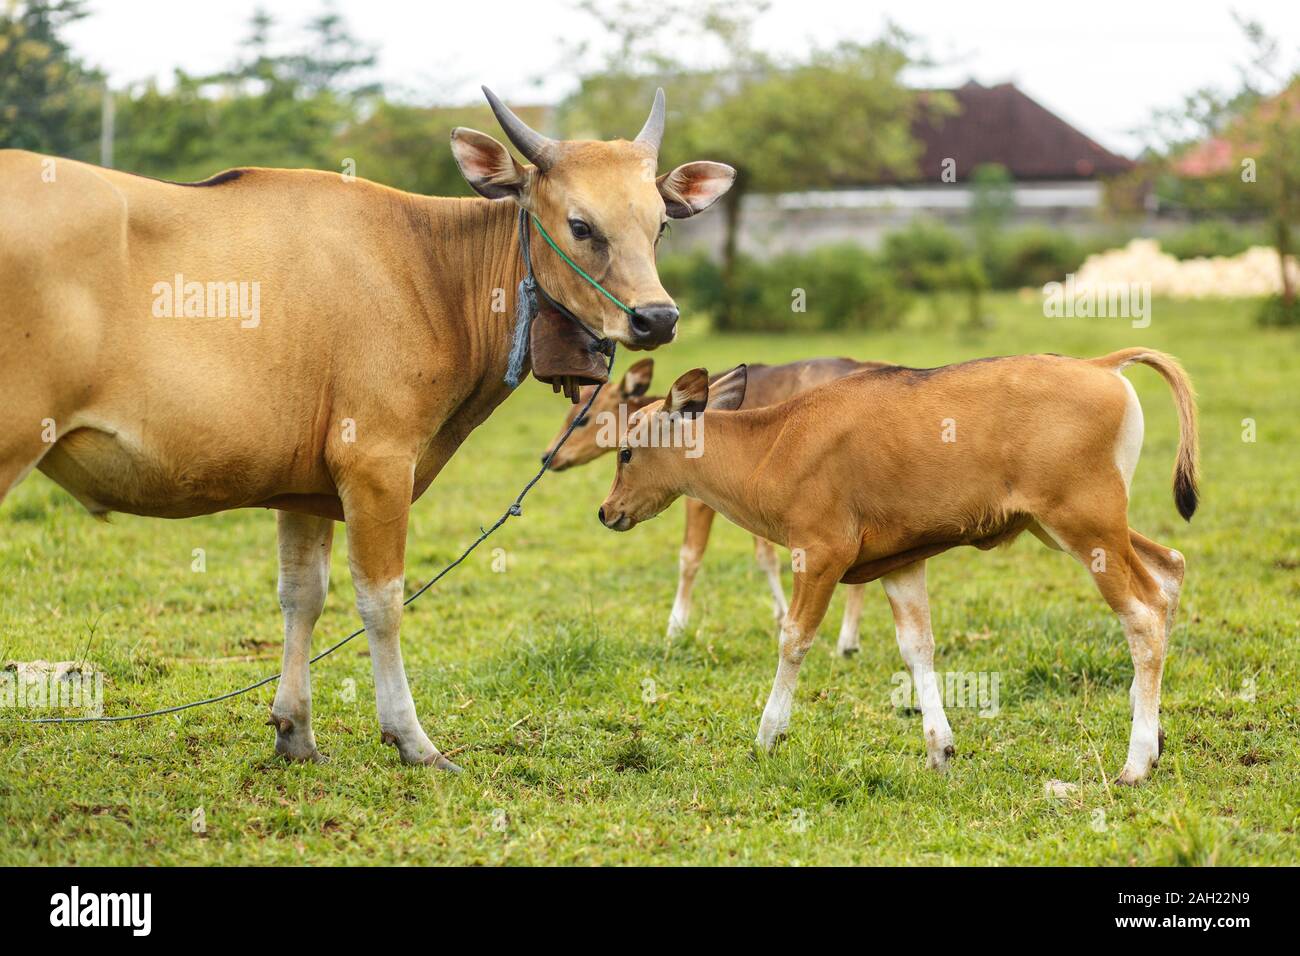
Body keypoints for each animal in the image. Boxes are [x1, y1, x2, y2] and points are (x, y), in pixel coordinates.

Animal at [0, 87, 736, 769]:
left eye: (660, 226)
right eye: (582, 225)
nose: (657, 318)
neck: (431, 270)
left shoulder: (302, 490)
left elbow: (302, 596)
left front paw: (295, 731)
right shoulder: (377, 466)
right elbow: (382, 602)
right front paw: (412, 739)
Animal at [542, 356, 893, 649]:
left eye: (582, 419)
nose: (548, 455)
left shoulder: (701, 498)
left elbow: (690, 556)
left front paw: (675, 626)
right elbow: (765, 555)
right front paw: (779, 611)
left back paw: (847, 641)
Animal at [598, 350, 1199, 785]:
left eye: (626, 451)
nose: (606, 511)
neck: (777, 443)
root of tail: (1101, 366)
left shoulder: (818, 556)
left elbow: (793, 639)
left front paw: (768, 735)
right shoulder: (900, 564)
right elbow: (917, 648)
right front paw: (940, 749)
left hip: (1085, 527)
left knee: (1143, 614)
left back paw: (1136, 761)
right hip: (1069, 528)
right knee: (1170, 568)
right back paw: (1154, 733)